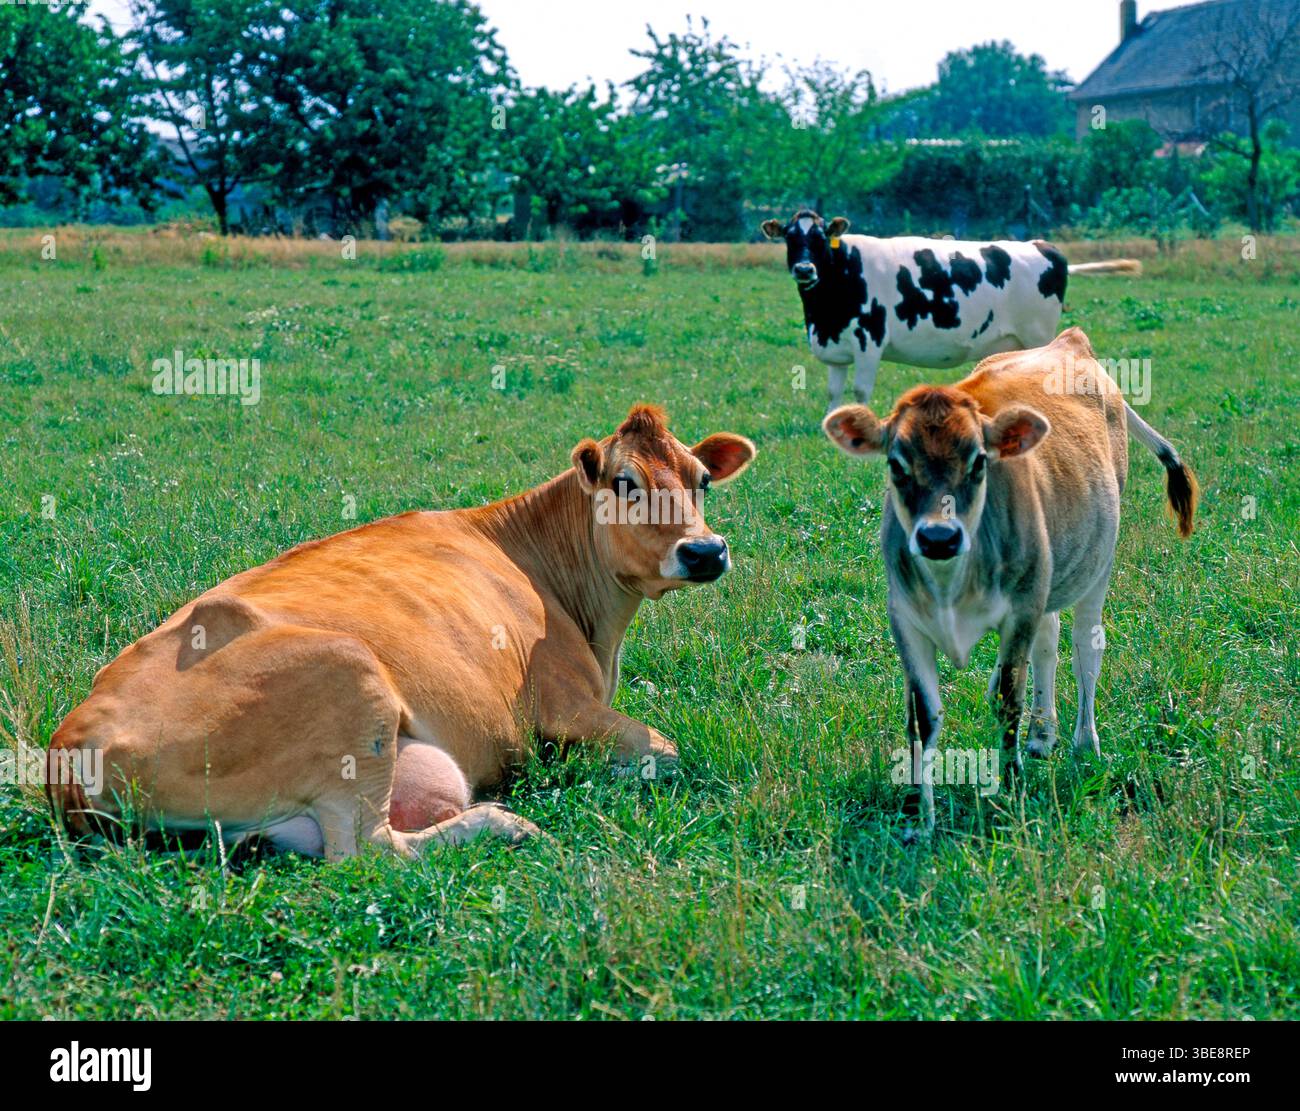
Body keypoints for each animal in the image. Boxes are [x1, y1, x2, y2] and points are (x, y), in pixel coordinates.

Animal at [47, 405, 756, 860]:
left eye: (702, 480)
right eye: (624, 483)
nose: (705, 551)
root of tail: (67, 746)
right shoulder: (562, 705)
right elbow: (665, 753)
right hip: (351, 677)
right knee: (367, 851)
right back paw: (503, 824)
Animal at [761, 210, 1140, 411]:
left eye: (821, 238)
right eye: (790, 238)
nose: (805, 269)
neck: (825, 313)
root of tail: (1041, 246)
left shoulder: (869, 340)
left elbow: (861, 390)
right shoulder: (835, 346)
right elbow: (834, 392)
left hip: (1039, 333)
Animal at [822, 327, 1197, 836]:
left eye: (979, 462)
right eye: (896, 465)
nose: (938, 537)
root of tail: (1070, 341)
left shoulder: (1020, 610)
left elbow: (1007, 699)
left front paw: (1012, 788)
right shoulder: (906, 619)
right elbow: (922, 717)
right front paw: (920, 818)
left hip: (1097, 563)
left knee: (1085, 647)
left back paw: (1084, 742)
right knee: (1049, 641)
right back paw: (1042, 734)